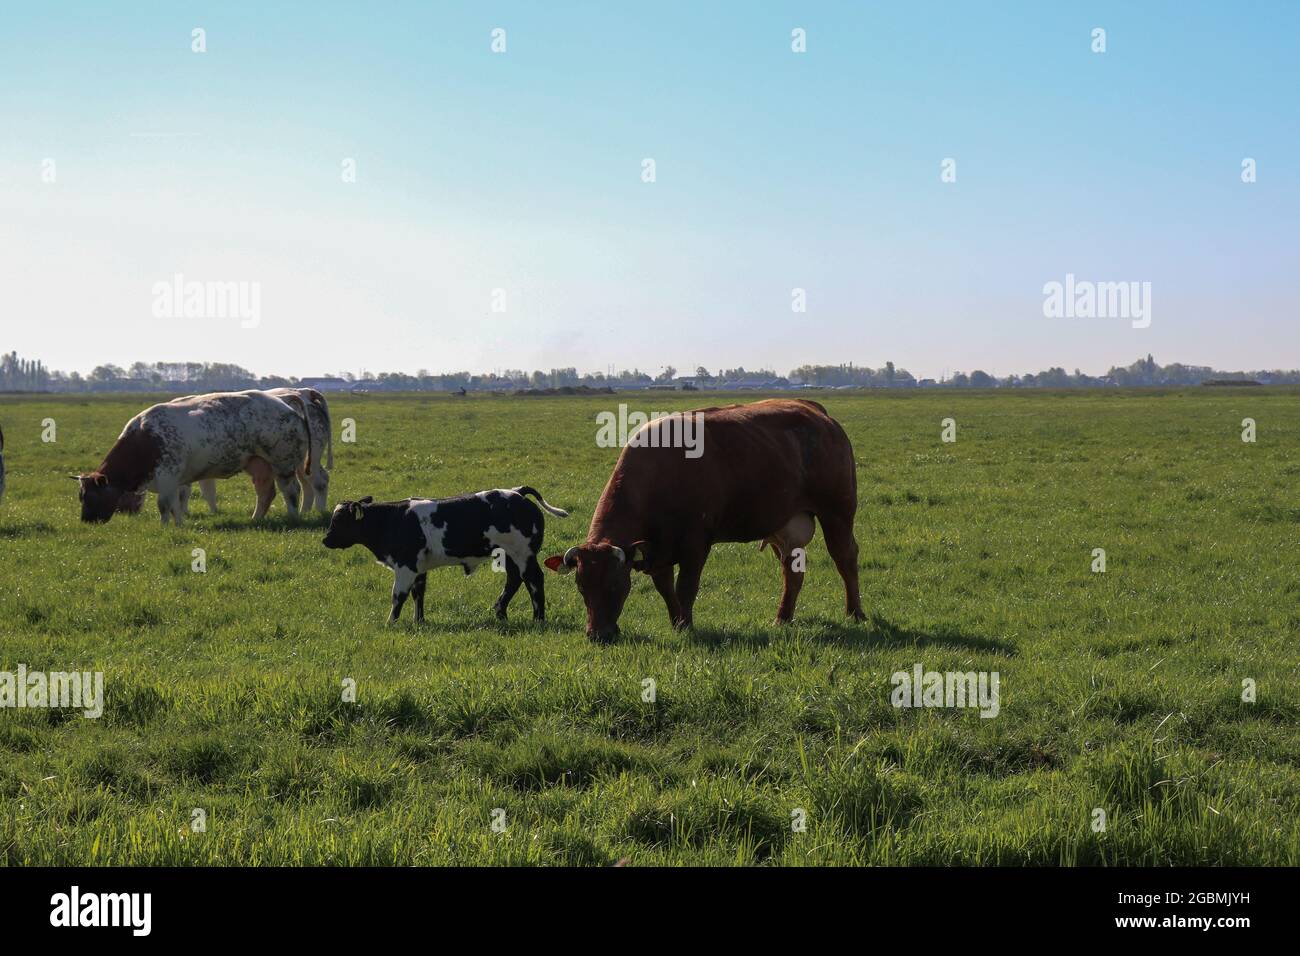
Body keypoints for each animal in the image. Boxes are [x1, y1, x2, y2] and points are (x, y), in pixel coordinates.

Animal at [73, 390, 312, 526]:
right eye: (81, 496)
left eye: (90, 496)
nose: (86, 521)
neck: (145, 439)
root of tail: (284, 403)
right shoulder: (173, 481)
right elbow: (175, 504)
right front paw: (178, 525)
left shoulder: (167, 475)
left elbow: (164, 505)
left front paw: (165, 527)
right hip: (258, 465)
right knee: (265, 493)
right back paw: (256, 519)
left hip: (283, 464)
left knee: (291, 491)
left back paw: (293, 517)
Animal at [185, 387, 334, 515]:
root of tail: (305, 392)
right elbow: (206, 488)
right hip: (301, 461)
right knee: (308, 482)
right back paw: (305, 512)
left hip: (306, 457)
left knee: (318, 482)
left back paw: (319, 511)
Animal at [322, 486, 568, 625]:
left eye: (339, 521)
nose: (325, 540)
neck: (393, 520)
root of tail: (517, 493)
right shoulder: (418, 568)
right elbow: (418, 594)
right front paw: (419, 621)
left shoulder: (405, 566)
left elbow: (398, 595)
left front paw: (391, 622)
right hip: (508, 555)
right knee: (514, 580)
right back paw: (500, 612)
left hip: (523, 554)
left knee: (533, 580)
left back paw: (538, 619)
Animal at [544, 399, 865, 642]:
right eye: (581, 586)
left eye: (615, 585)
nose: (597, 634)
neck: (658, 474)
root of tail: (816, 411)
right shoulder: (656, 551)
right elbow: (666, 589)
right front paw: (676, 621)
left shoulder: (695, 545)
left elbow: (686, 587)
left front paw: (686, 625)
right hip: (784, 526)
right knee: (792, 572)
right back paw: (783, 618)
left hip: (837, 513)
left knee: (845, 559)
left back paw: (855, 613)